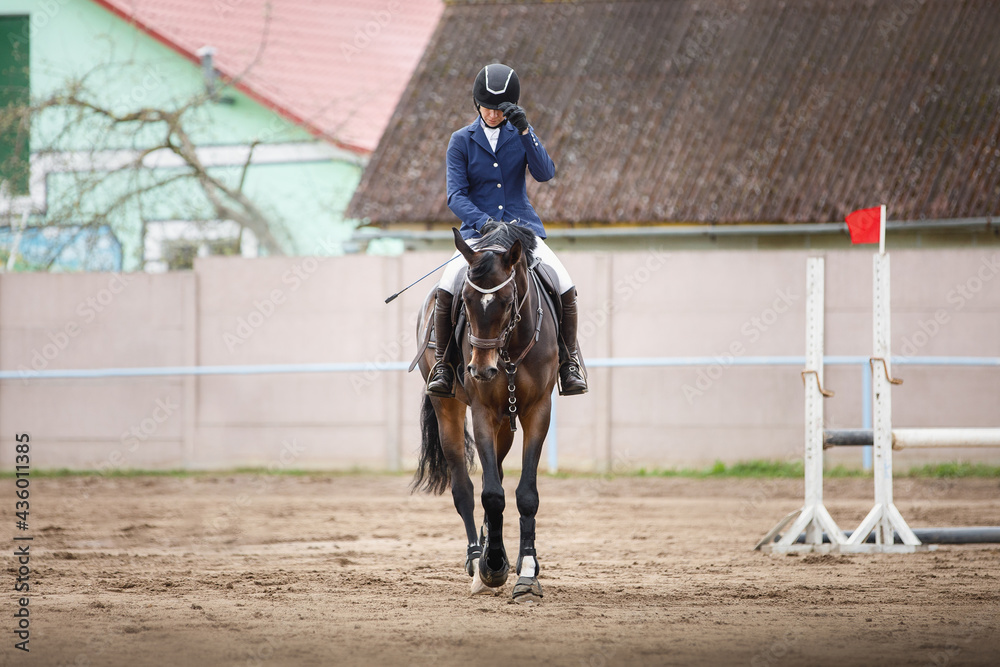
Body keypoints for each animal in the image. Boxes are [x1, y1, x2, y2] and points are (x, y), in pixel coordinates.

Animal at [412, 222, 559, 602]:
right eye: (464, 300)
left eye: (506, 302)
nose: (480, 369)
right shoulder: (482, 411)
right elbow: (491, 494)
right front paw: (491, 566)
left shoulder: (539, 410)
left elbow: (525, 494)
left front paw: (527, 572)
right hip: (448, 408)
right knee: (464, 487)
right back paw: (477, 558)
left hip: (505, 423)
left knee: (500, 476)